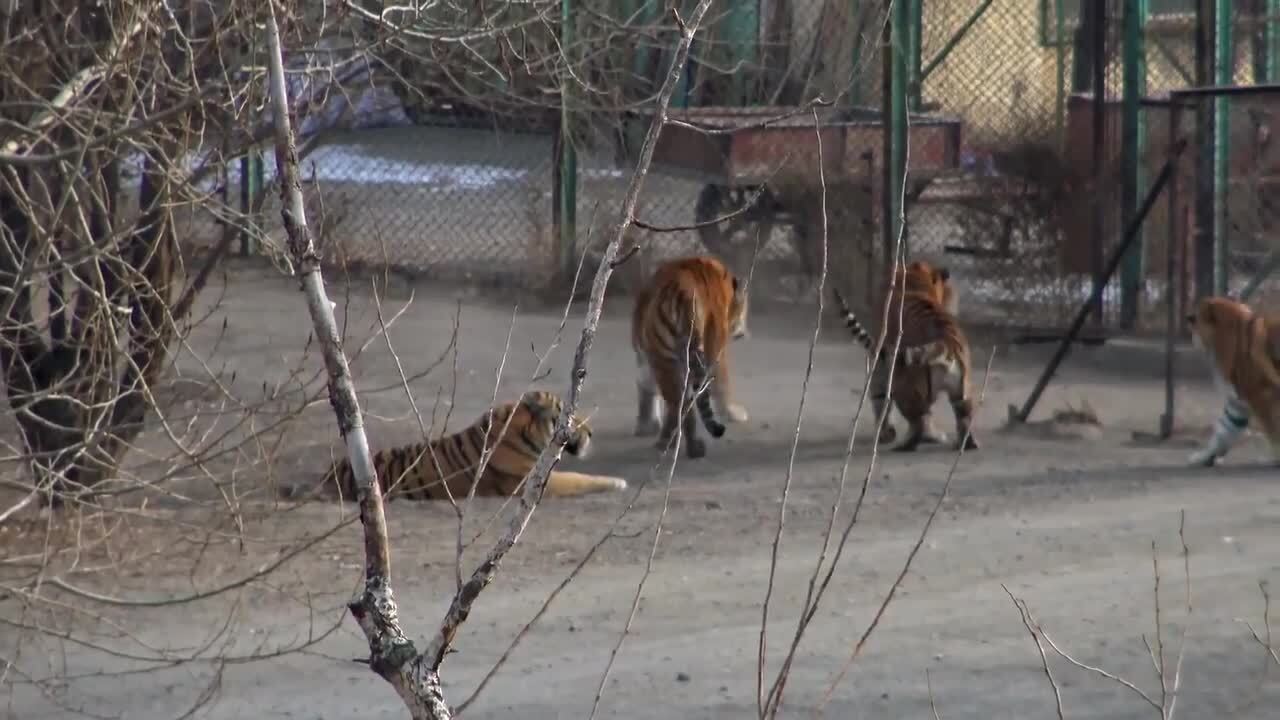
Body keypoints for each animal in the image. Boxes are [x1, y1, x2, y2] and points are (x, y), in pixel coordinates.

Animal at [632, 254, 750, 459]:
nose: (743, 332)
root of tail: (684, 290)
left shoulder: (648, 358)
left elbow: (647, 387)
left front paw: (647, 425)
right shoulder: (717, 350)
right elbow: (723, 384)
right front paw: (734, 413)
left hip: (664, 360)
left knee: (677, 402)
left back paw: (674, 442)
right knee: (685, 403)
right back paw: (686, 445)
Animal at [831, 260, 979, 452]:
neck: (916, 279)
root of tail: (946, 343)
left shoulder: (880, 358)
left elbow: (880, 398)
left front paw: (886, 434)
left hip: (906, 389)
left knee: (918, 421)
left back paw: (905, 445)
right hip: (962, 393)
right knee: (963, 418)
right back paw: (967, 444)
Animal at [1185, 296, 1280, 467]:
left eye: (1196, 316)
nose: (1187, 317)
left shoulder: (1262, 396)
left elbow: (1273, 429)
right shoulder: (1238, 402)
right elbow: (1222, 432)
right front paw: (1204, 457)